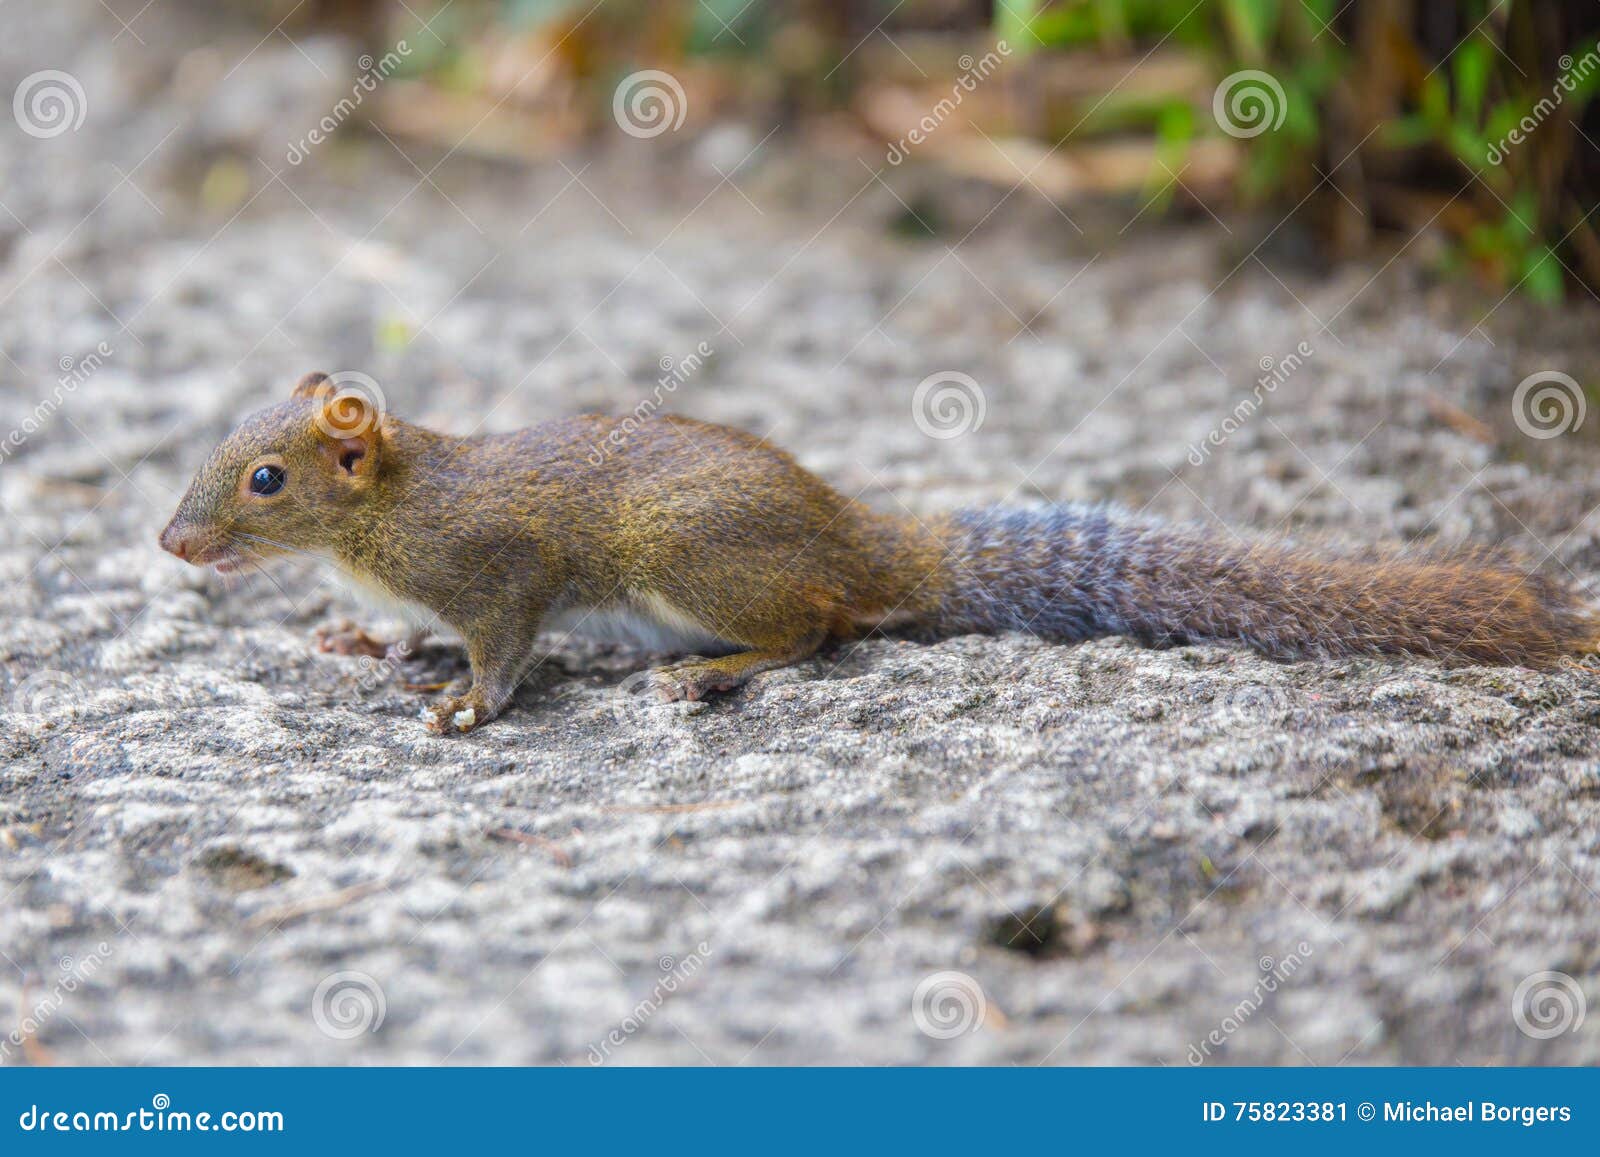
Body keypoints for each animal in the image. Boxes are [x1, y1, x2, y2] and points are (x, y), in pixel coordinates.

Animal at [159, 371, 1599, 734]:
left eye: (266, 477)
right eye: (215, 445)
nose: (171, 543)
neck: (381, 520)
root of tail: (865, 538)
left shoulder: (500, 568)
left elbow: (507, 647)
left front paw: (468, 702)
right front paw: (382, 645)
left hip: (694, 560)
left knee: (824, 626)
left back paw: (717, 671)